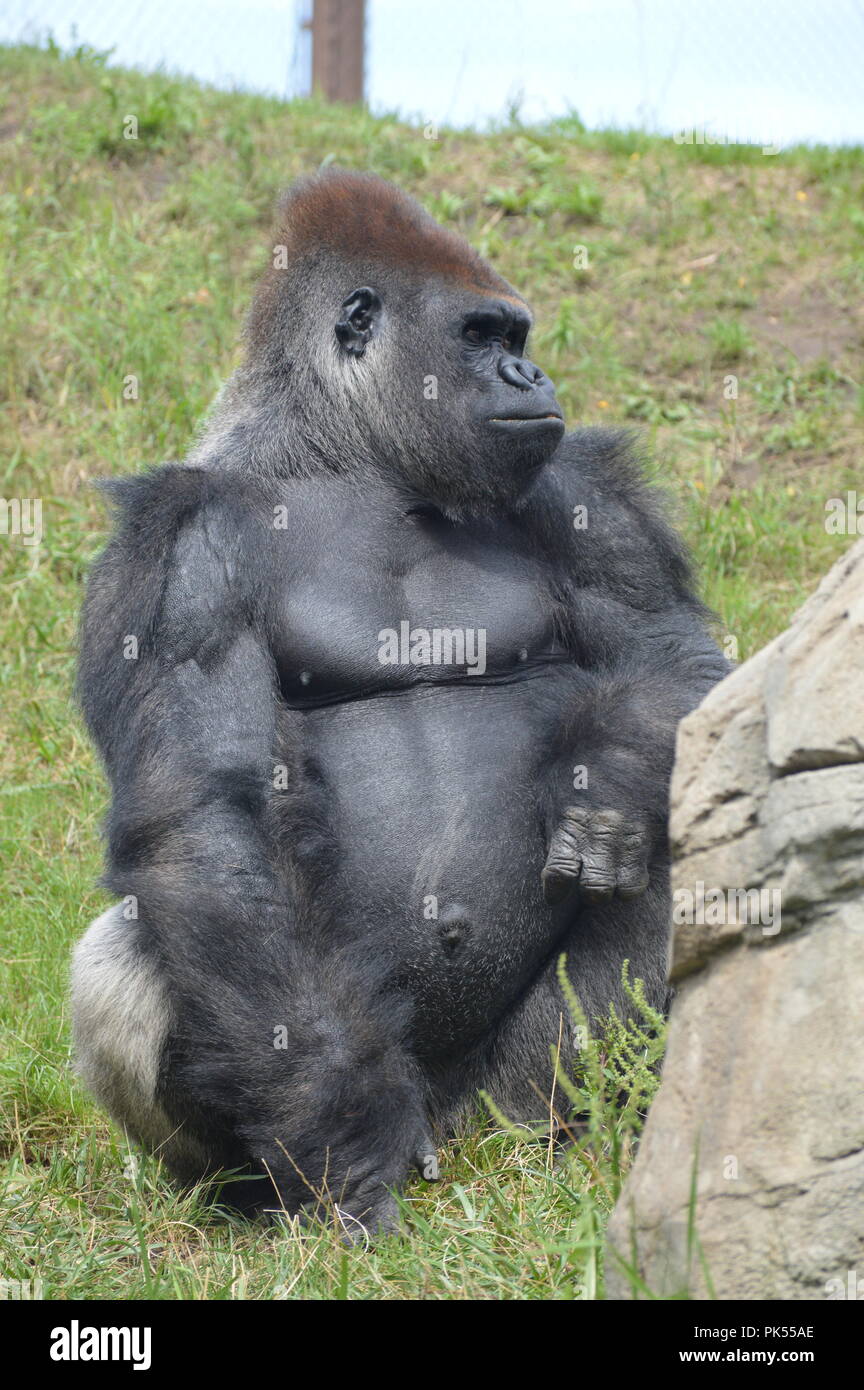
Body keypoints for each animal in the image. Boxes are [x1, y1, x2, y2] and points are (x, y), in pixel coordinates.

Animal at [72, 169, 729, 1233]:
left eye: (516, 336)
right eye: (481, 336)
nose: (529, 378)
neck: (348, 458)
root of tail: (455, 1127)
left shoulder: (582, 488)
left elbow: (678, 656)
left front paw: (612, 770)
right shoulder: (176, 548)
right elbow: (205, 818)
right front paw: (341, 1137)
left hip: (506, 1100)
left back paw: (578, 1127)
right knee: (137, 946)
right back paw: (253, 1195)